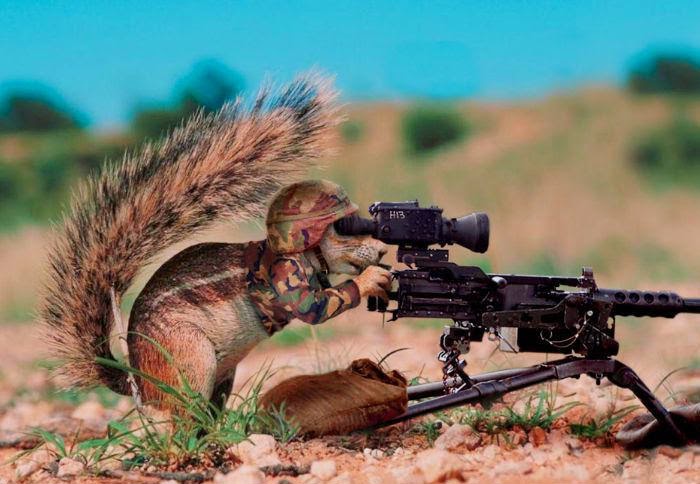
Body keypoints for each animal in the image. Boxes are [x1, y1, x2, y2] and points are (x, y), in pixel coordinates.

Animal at [40, 74, 391, 413]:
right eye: (345, 231)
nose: (383, 250)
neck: (300, 254)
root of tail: (137, 378)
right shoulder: (283, 273)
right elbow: (313, 308)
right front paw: (369, 280)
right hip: (189, 357)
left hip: (223, 374)